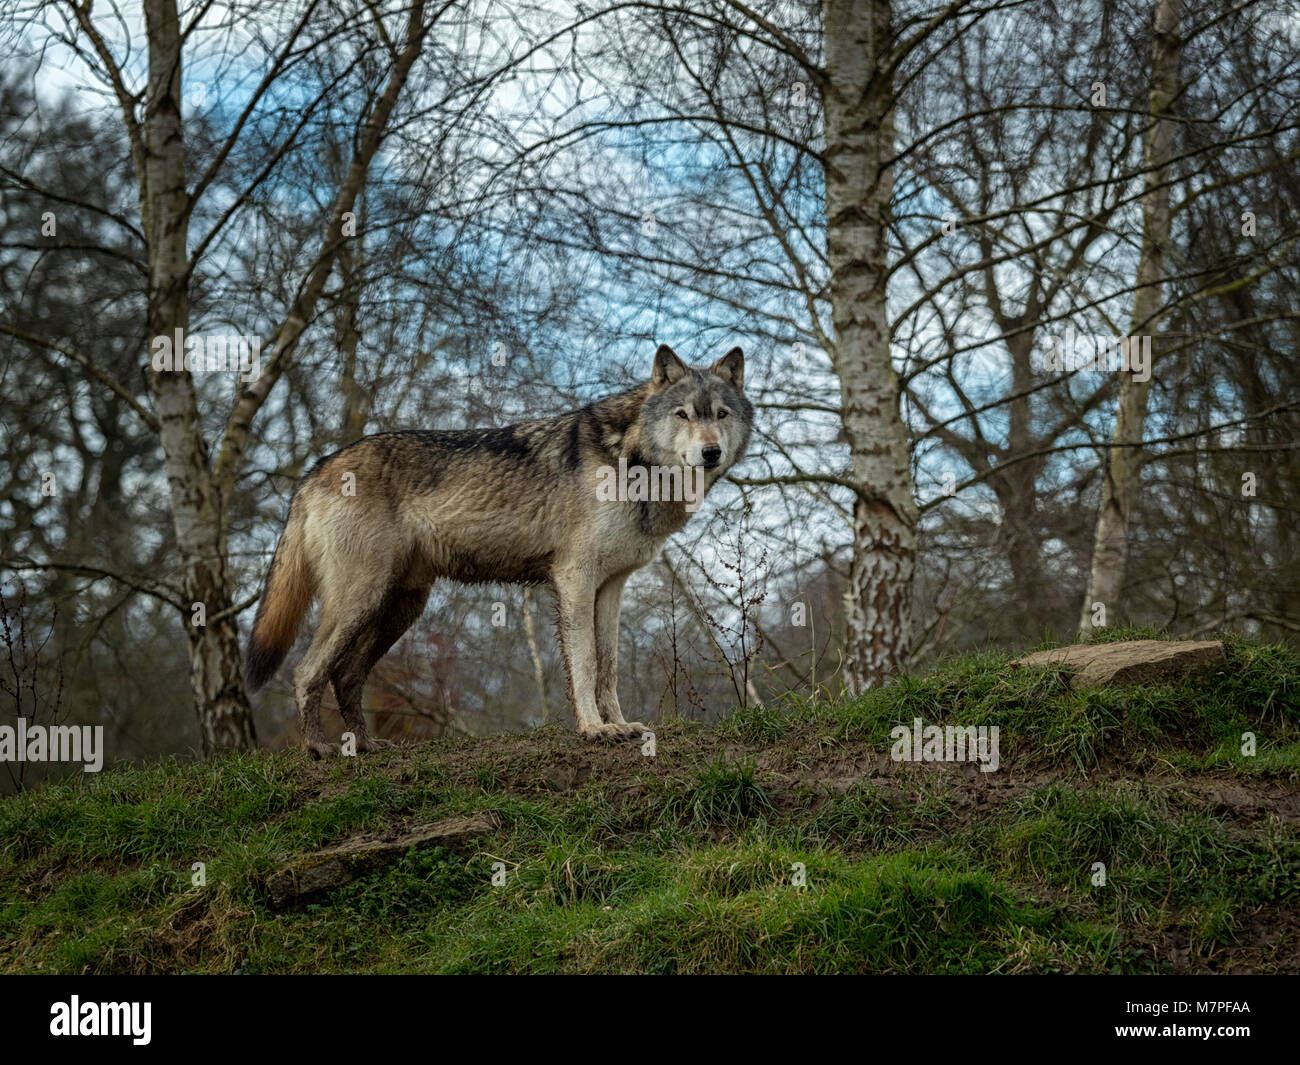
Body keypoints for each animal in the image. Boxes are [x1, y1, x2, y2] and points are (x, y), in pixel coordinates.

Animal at [244, 344, 752, 756]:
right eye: (683, 415)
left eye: (720, 415)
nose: (710, 453)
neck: (631, 459)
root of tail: (315, 471)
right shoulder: (575, 578)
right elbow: (585, 663)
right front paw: (593, 730)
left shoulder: (611, 586)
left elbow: (608, 666)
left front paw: (620, 724)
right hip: (362, 600)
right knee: (306, 671)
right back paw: (318, 749)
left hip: (400, 607)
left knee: (345, 676)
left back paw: (366, 746)